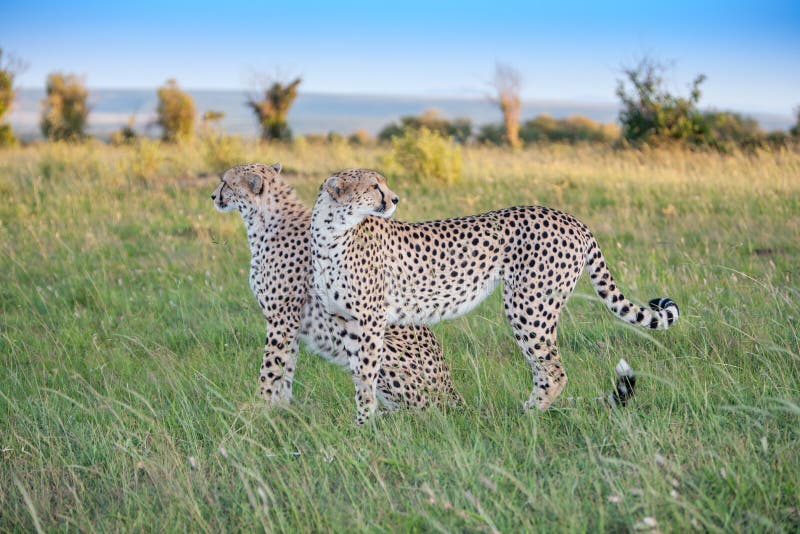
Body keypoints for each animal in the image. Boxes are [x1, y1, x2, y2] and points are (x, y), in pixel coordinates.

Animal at [212, 163, 461, 411]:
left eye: (226, 183)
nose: (213, 196)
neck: (264, 220)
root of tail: (452, 390)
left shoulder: (282, 318)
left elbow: (270, 367)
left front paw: (258, 408)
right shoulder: (291, 323)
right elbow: (286, 368)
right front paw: (282, 409)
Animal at [309, 168, 679, 424]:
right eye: (374, 186)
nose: (396, 199)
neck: (331, 231)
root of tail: (572, 218)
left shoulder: (371, 321)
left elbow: (366, 374)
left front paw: (363, 424)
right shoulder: (344, 320)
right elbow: (358, 374)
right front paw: (363, 421)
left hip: (528, 304)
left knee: (553, 370)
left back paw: (526, 415)